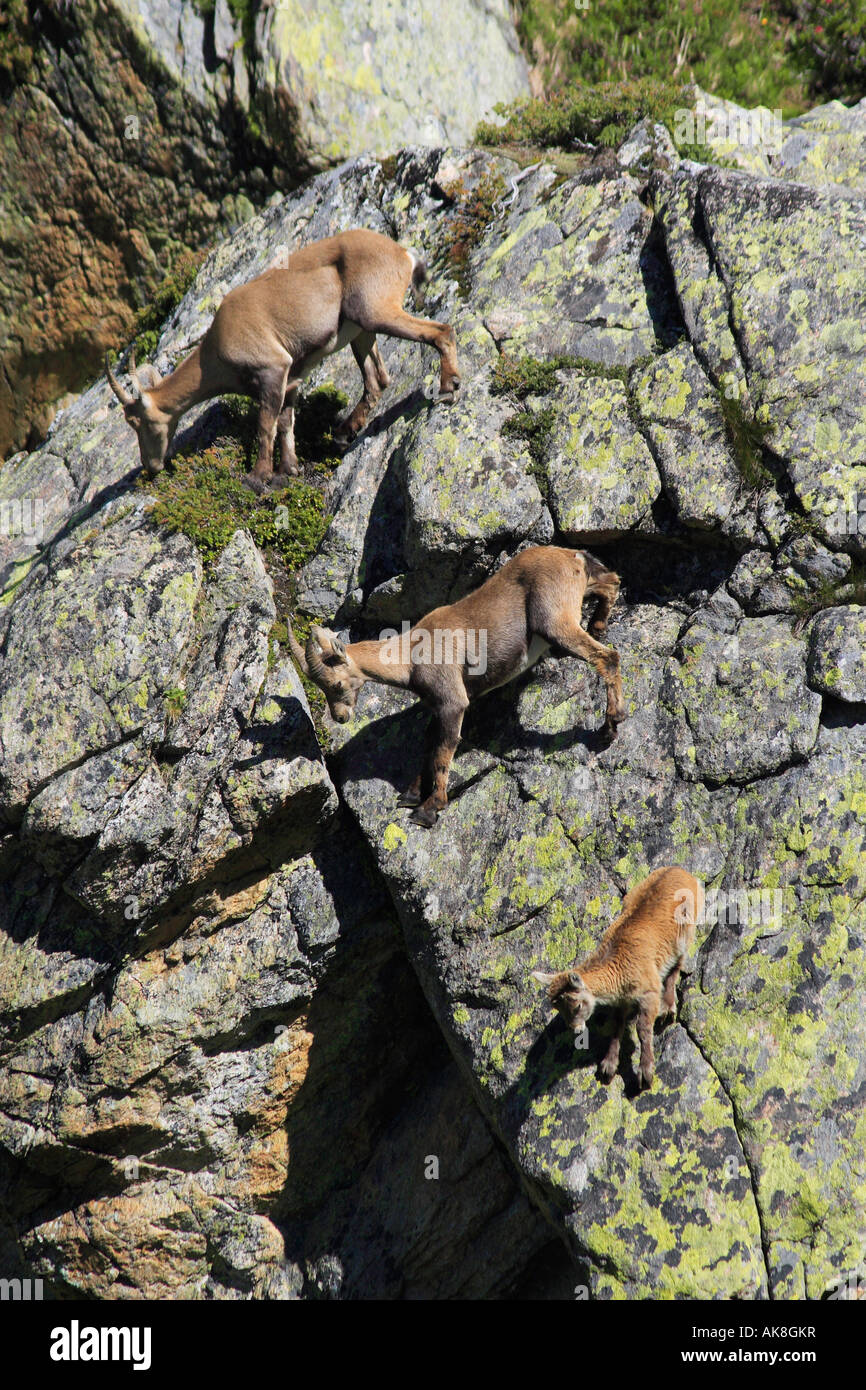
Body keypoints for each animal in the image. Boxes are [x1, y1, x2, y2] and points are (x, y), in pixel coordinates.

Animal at [106, 229, 460, 493]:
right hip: (360, 331)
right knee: (377, 380)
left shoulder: (272, 368)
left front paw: (257, 476)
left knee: (440, 331)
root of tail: (402, 253)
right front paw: (288, 469)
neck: (215, 350)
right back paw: (345, 432)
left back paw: (449, 385)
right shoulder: (292, 377)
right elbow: (287, 422)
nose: (151, 465)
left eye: (138, 422)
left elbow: (265, 425)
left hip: (376, 311)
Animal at [289, 546, 625, 828]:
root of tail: (571, 556)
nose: (340, 717)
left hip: (553, 621)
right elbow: (429, 743)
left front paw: (428, 809)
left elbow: (442, 750)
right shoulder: (437, 706)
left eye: (335, 682)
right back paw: (598, 623)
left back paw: (612, 724)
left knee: (607, 657)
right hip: (575, 599)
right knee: (611, 580)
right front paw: (412, 795)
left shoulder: (452, 702)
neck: (411, 656)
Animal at [532, 866, 703, 1088]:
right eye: (559, 1009)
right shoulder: (623, 999)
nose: (577, 1030)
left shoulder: (648, 989)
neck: (618, 966)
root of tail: (683, 872)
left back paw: (668, 1007)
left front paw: (645, 1073)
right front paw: (608, 1066)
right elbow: (616, 1025)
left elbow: (642, 1028)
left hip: (685, 931)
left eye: (577, 1005)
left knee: (677, 964)